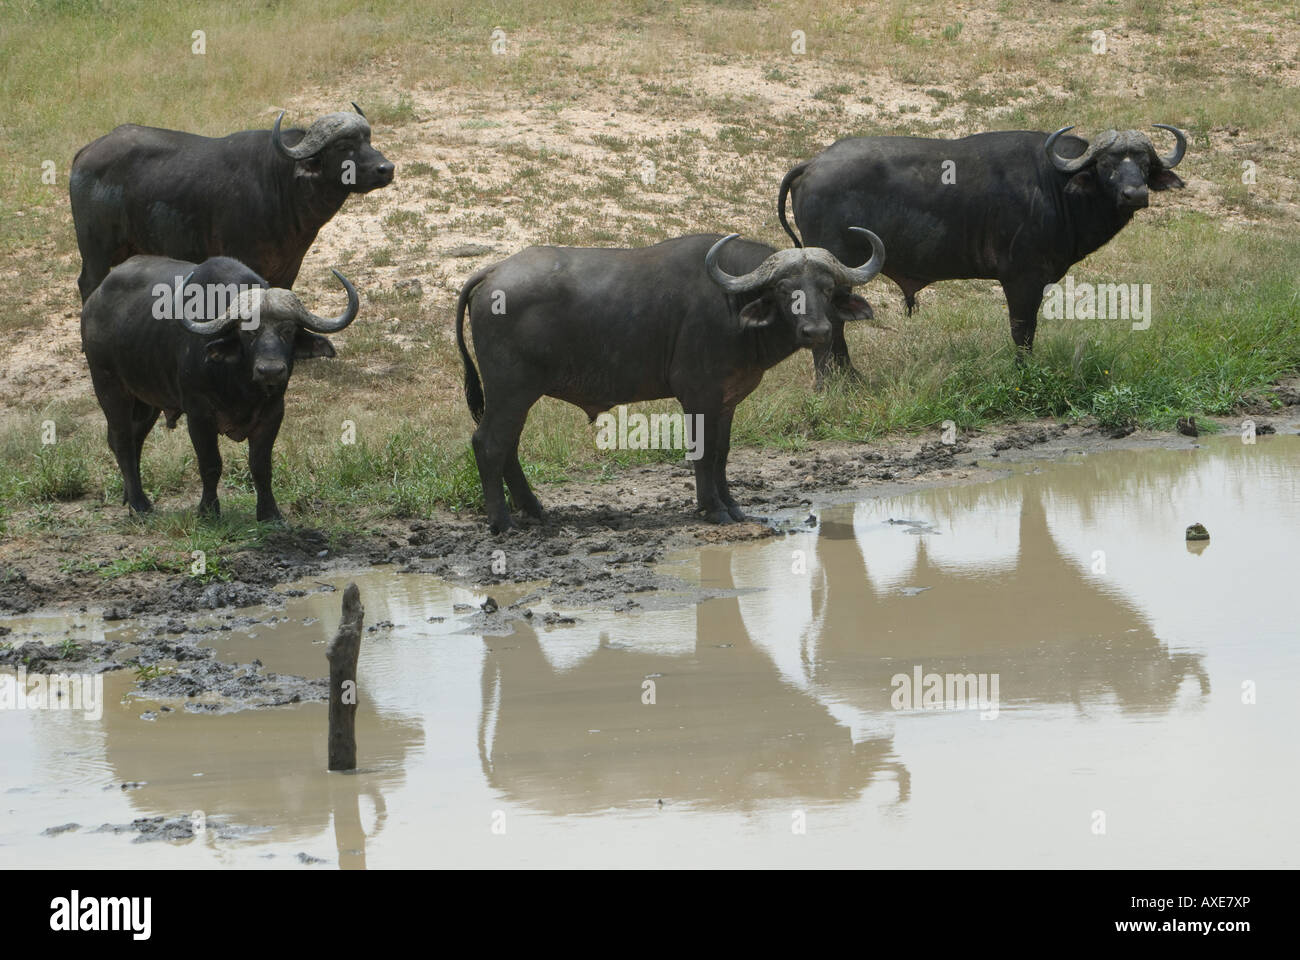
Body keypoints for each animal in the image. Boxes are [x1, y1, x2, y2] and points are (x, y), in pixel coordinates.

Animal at [70, 104, 393, 302]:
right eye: (344, 147)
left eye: (368, 141)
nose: (386, 168)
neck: (281, 184)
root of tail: (85, 153)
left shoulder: (290, 265)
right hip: (95, 251)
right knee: (88, 283)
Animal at [81, 255, 359, 521]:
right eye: (248, 332)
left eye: (288, 331)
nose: (270, 370)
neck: (240, 386)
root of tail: (93, 302)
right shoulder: (198, 415)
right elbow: (210, 464)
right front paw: (208, 511)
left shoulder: (273, 413)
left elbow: (261, 466)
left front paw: (269, 513)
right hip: (109, 387)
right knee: (123, 441)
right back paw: (139, 506)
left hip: (147, 400)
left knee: (134, 439)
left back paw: (131, 496)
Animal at [454, 231, 885, 533]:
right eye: (784, 289)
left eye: (826, 289)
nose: (817, 331)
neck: (732, 307)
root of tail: (492, 272)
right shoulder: (697, 395)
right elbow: (702, 453)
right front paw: (712, 509)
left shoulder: (726, 400)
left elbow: (721, 452)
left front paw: (732, 506)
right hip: (510, 391)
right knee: (488, 444)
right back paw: (503, 522)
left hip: (516, 395)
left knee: (507, 447)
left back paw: (534, 509)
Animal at [778, 125, 1187, 382]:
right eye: (1107, 165)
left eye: (1144, 164)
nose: (1136, 194)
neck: (1055, 185)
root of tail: (813, 164)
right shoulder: (1022, 279)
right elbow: (1023, 329)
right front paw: (1024, 371)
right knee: (831, 324)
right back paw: (837, 381)